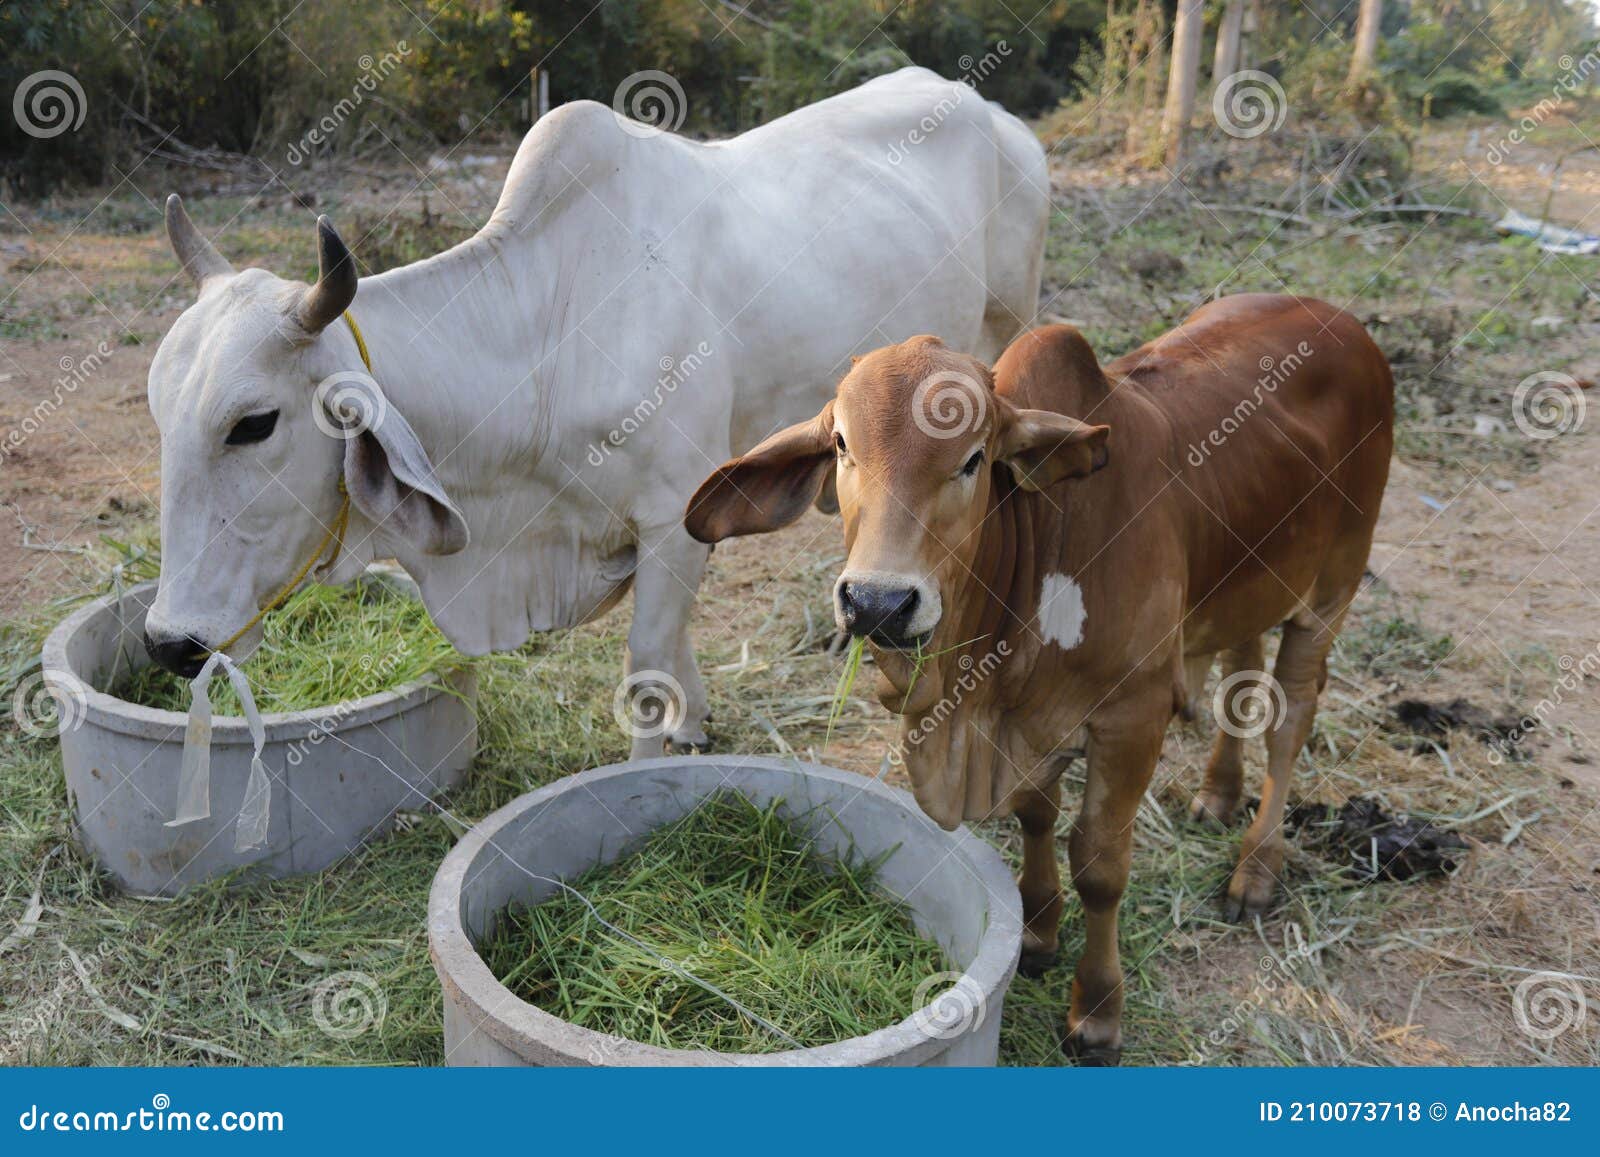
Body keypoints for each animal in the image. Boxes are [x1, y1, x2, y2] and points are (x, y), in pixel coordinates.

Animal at [141, 67, 1048, 757]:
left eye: (253, 423)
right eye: (159, 411)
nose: (167, 641)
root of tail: (988, 109)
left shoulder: (672, 509)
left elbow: (643, 665)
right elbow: (668, 646)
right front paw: (694, 721)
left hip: (1010, 331)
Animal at [684, 294, 1395, 1062]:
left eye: (973, 459)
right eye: (843, 444)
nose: (876, 601)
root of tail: (1341, 321)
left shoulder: (1132, 715)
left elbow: (1099, 867)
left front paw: (1098, 1011)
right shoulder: (1024, 718)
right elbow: (1036, 817)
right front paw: (1037, 933)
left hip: (1334, 586)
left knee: (1291, 721)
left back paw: (1256, 868)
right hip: (1254, 580)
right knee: (1242, 671)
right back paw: (1218, 793)